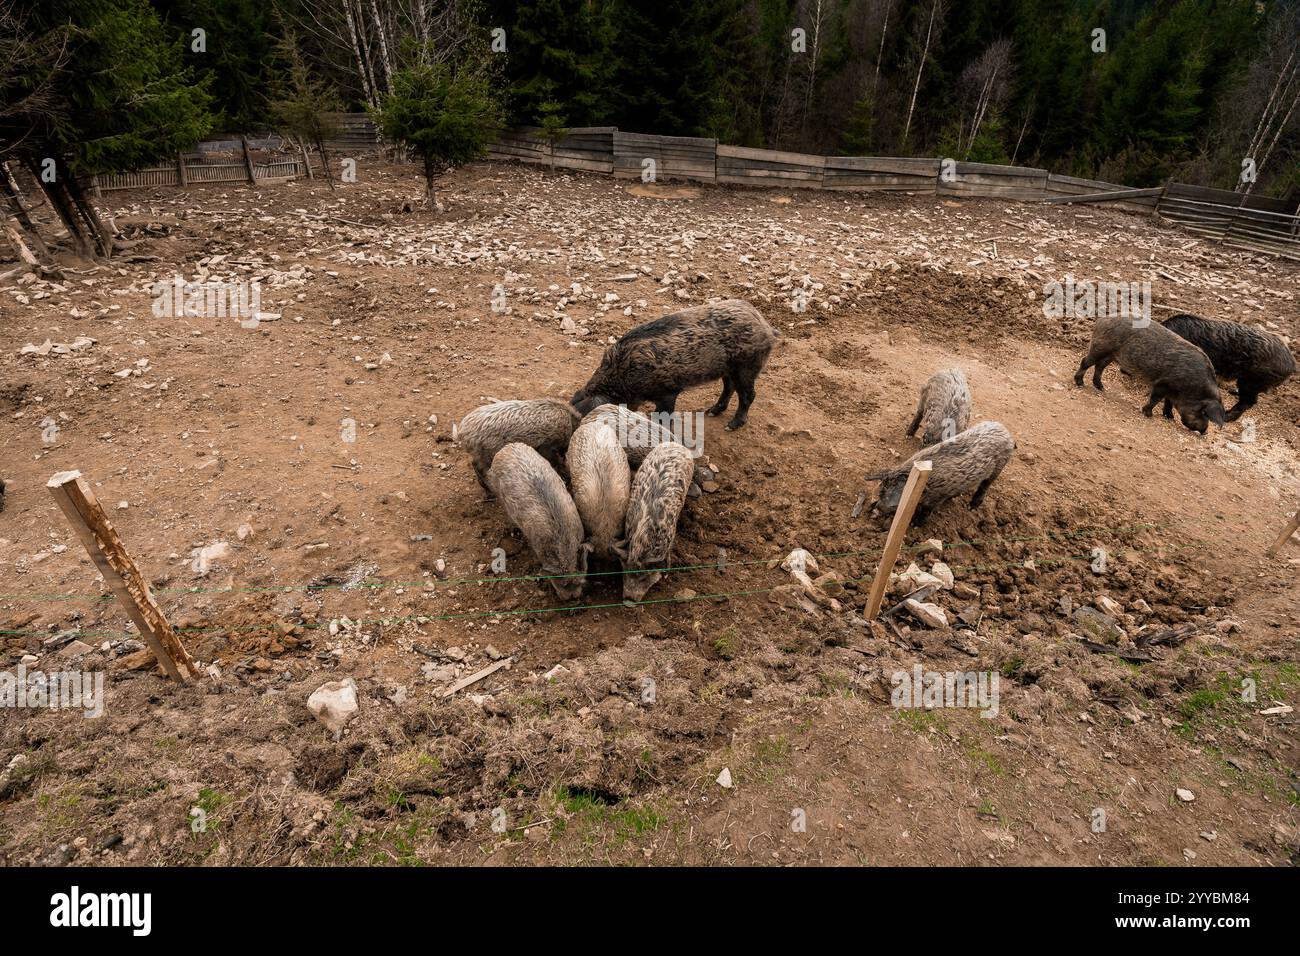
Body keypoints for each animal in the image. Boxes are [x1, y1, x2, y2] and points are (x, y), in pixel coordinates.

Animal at [485, 443, 589, 601]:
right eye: (561, 583)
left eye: (579, 581)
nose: (572, 598)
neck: (563, 544)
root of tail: (506, 448)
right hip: (497, 489)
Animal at [571, 299, 779, 430]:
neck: (623, 375)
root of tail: (765, 325)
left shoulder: (668, 391)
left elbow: (664, 414)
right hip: (728, 368)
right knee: (729, 388)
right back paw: (710, 412)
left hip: (748, 365)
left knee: (748, 395)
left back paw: (731, 426)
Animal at [865, 421, 1015, 523]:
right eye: (881, 491)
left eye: (895, 503)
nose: (875, 510)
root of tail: (1007, 432)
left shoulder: (938, 496)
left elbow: (927, 510)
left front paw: (915, 524)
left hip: (999, 467)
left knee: (985, 485)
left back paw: (971, 507)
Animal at [1074, 315, 1226, 433]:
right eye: (1204, 413)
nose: (1205, 431)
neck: (1193, 387)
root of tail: (1102, 320)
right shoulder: (1163, 383)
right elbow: (1156, 399)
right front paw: (1149, 414)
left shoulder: (1171, 390)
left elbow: (1168, 402)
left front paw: (1169, 417)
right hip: (1100, 347)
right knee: (1086, 361)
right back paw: (1080, 383)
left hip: (1111, 355)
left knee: (1099, 366)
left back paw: (1101, 388)